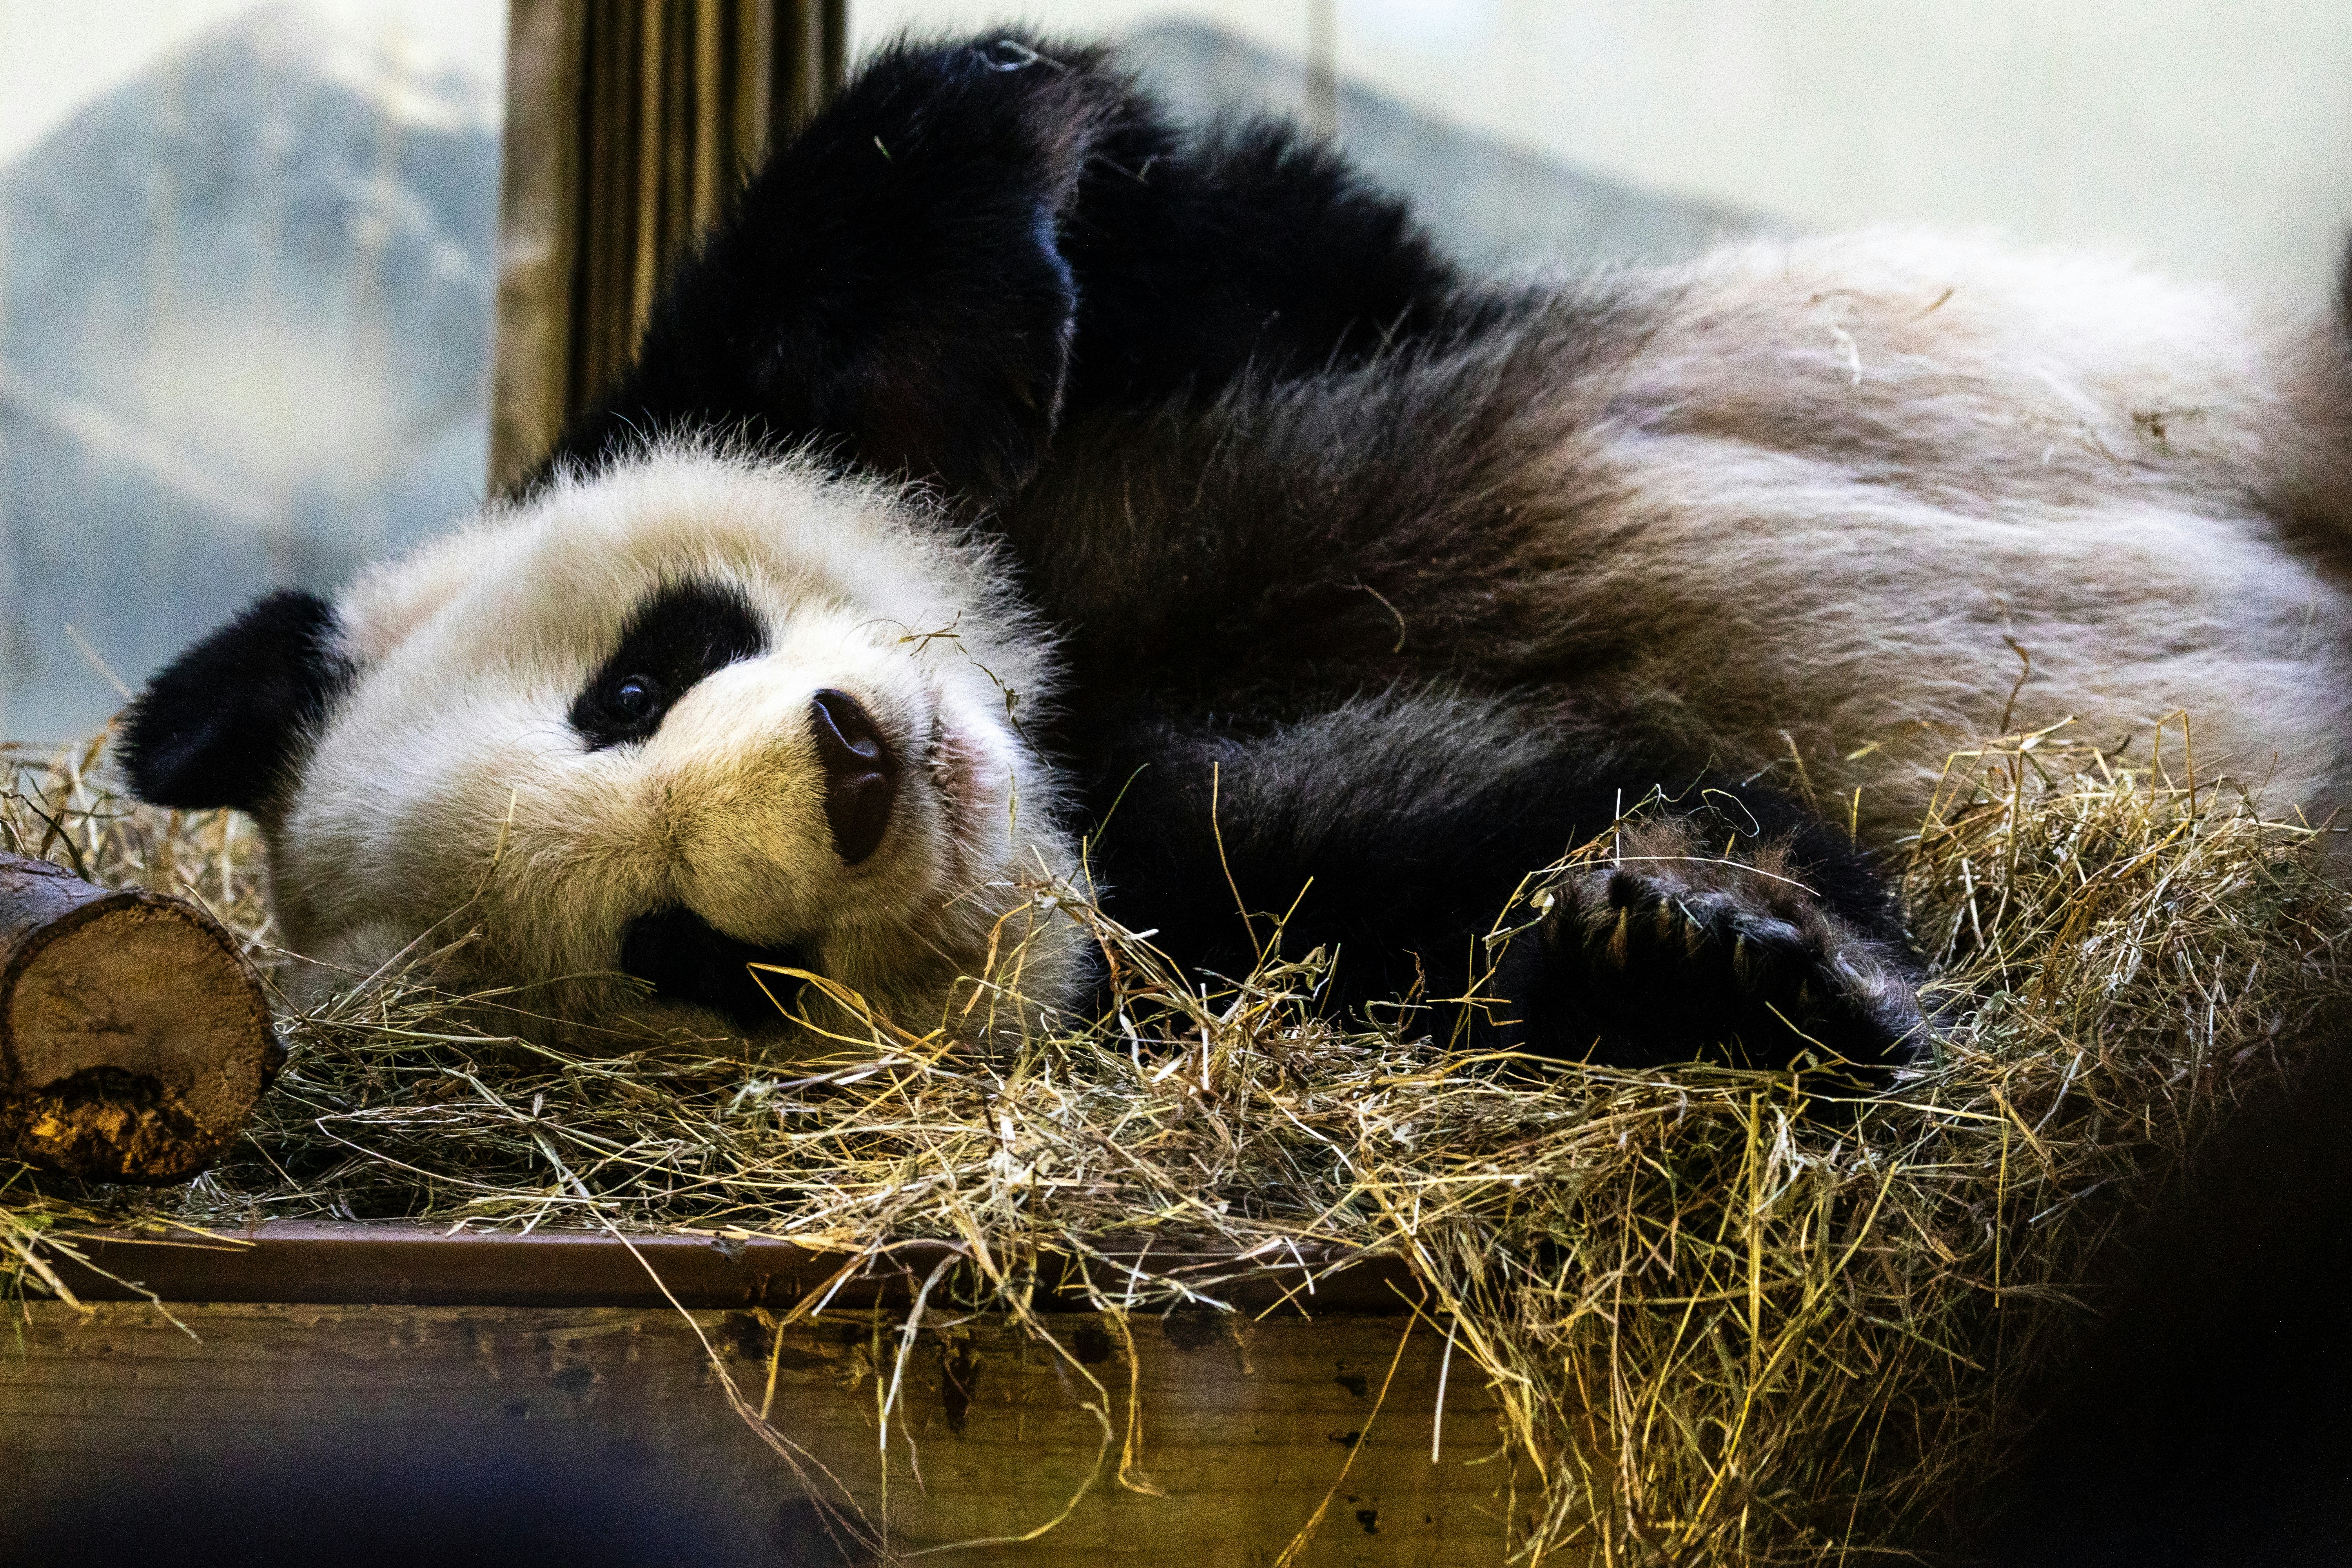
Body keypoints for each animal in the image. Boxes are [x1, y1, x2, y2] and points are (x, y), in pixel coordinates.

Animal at [114, 34, 2352, 1073]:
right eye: (681, 952)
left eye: (635, 682)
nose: (856, 769)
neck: (1065, 706)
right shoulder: (1188, 899)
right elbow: (1476, 842)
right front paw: (1697, 945)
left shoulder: (1223, 322)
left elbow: (1072, 185)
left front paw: (1001, 242)